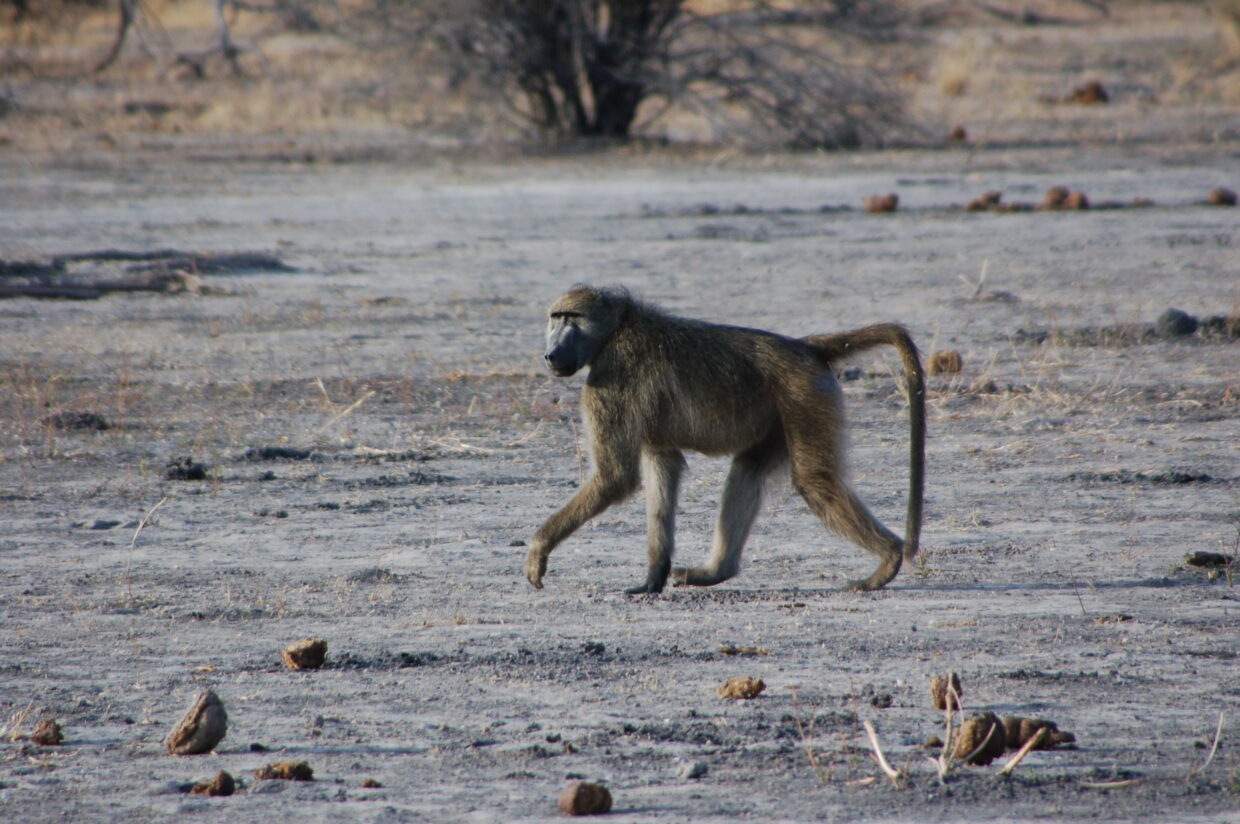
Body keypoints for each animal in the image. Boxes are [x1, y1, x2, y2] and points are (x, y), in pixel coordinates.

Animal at [524, 285, 925, 596]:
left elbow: (615, 477)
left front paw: (538, 549)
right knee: (749, 468)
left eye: (571, 318)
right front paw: (653, 578)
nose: (550, 354)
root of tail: (804, 346)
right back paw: (715, 572)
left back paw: (888, 560)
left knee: (813, 480)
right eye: (554, 318)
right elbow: (663, 470)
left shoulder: (610, 381)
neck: (617, 328)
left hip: (804, 394)